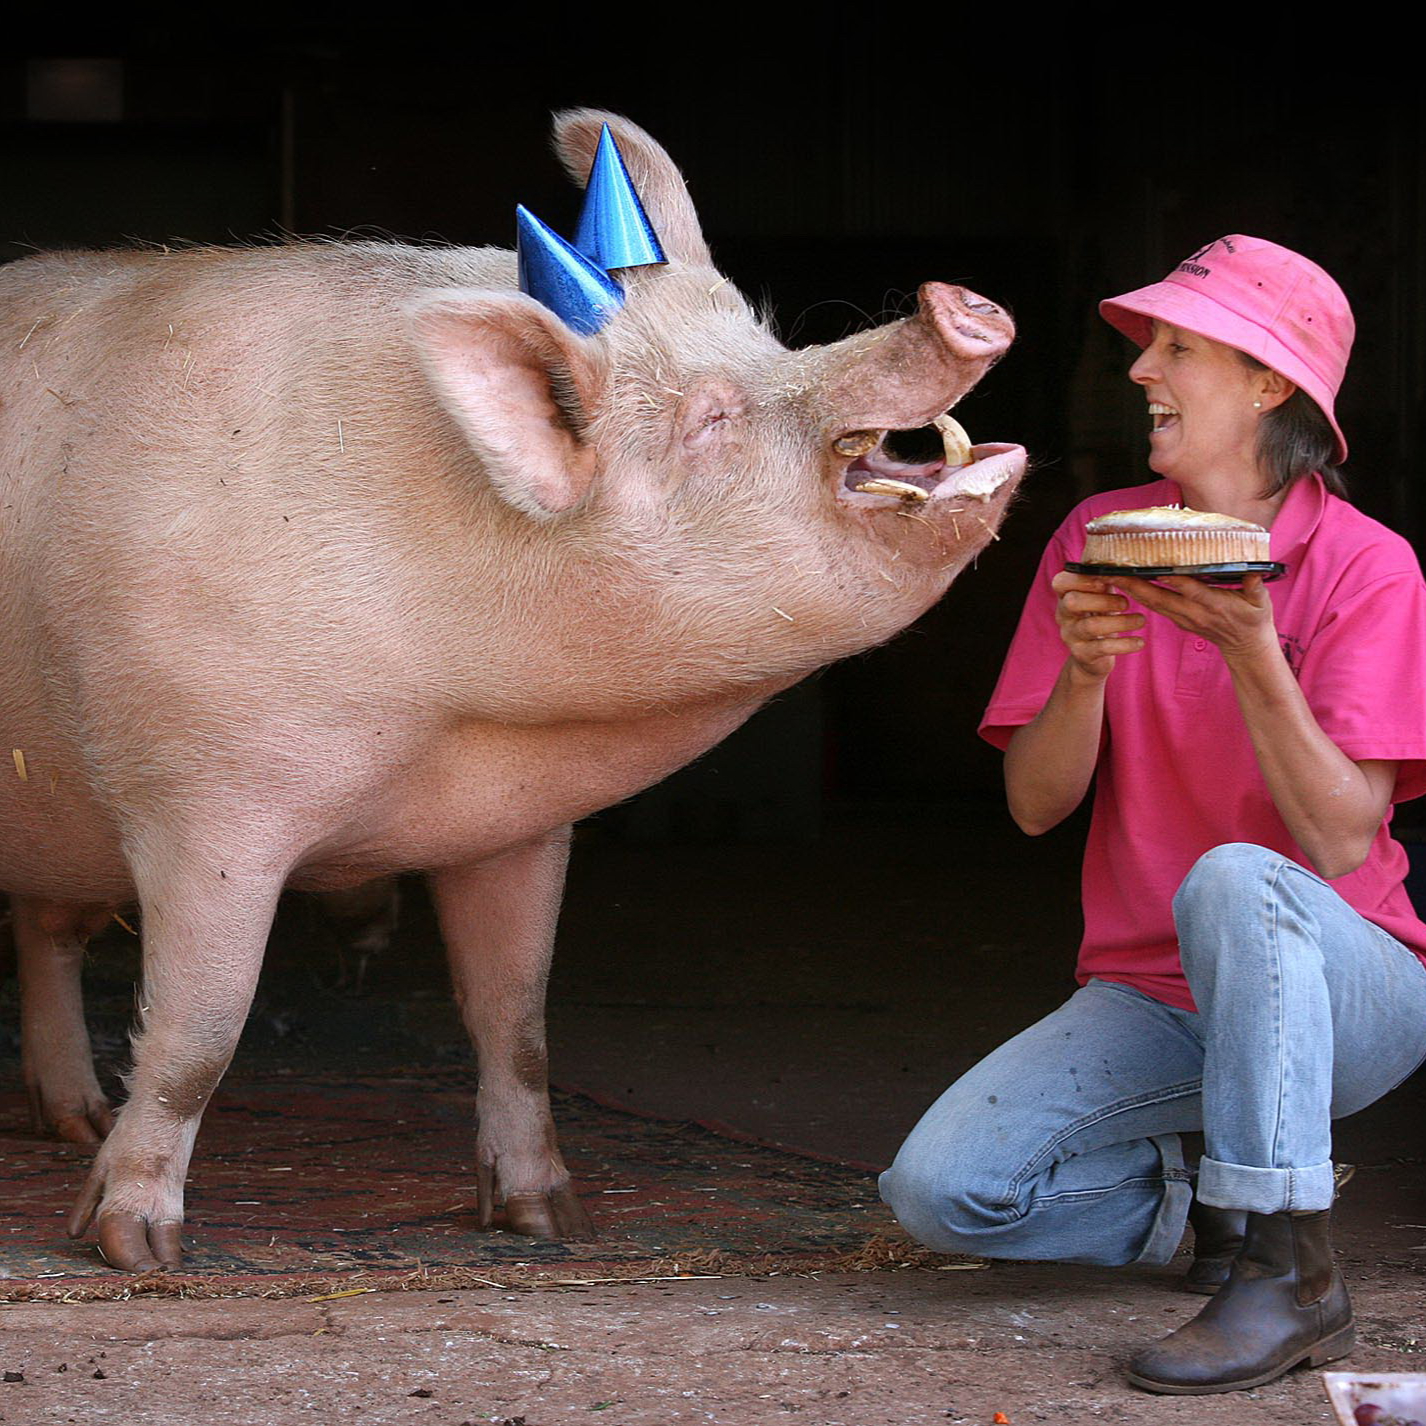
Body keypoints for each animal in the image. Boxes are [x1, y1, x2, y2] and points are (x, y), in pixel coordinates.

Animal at [0, 109, 1025, 1272]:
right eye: (710, 418)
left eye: (764, 340)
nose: (956, 301)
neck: (449, 719)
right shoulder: (202, 801)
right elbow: (198, 1033)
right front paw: (136, 1248)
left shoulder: (517, 825)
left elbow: (519, 1022)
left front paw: (550, 1222)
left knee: (45, 933)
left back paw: (69, 1118)